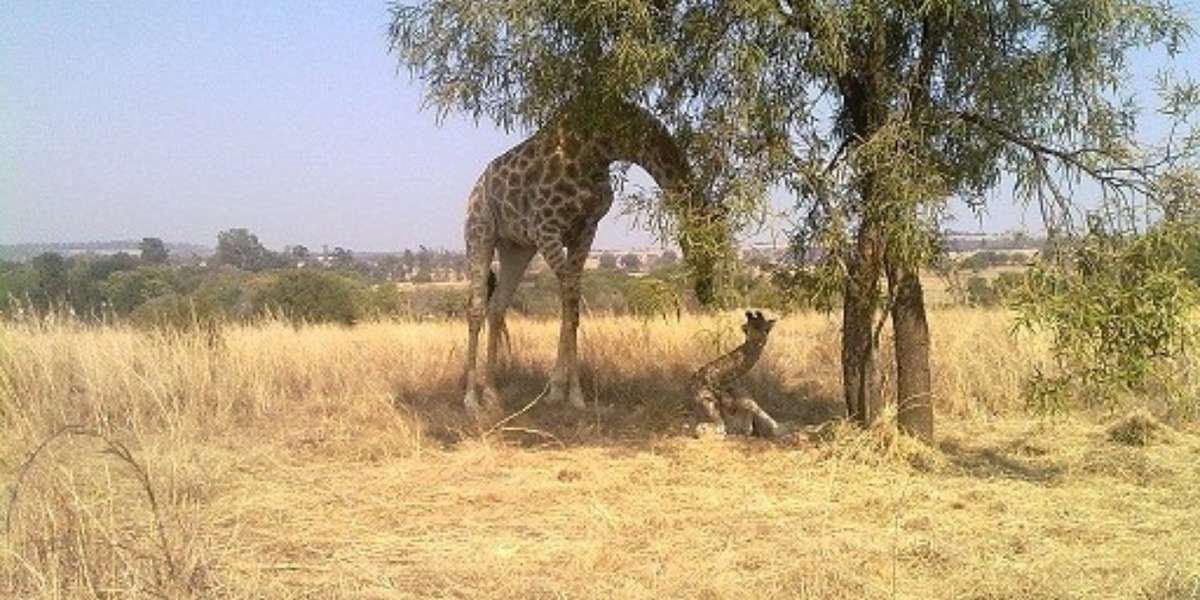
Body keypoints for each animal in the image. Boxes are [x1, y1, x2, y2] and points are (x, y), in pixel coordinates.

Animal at [461, 99, 717, 415]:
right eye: (706, 243)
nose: (706, 290)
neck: (601, 147)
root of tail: (476, 187)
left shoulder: (585, 230)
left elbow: (570, 309)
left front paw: (560, 391)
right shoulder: (546, 229)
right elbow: (571, 304)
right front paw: (573, 394)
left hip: (516, 248)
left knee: (497, 306)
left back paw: (491, 393)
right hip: (480, 232)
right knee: (476, 307)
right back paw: (471, 399)